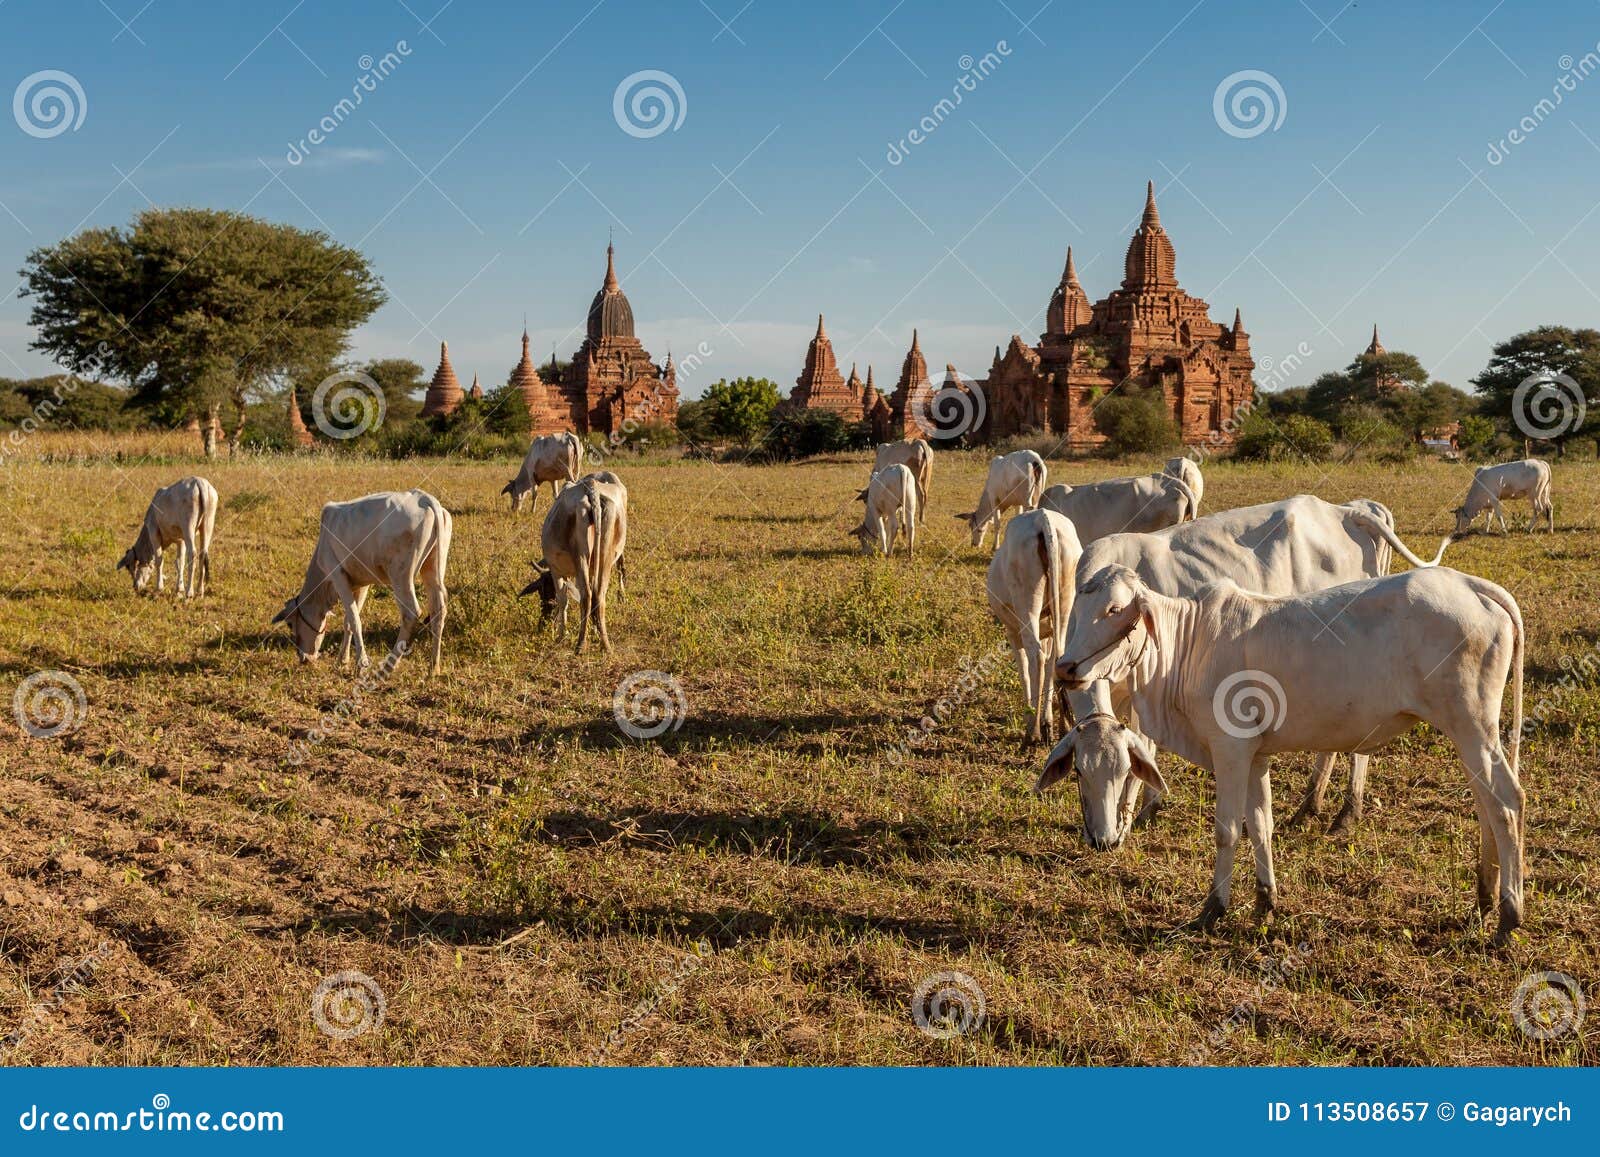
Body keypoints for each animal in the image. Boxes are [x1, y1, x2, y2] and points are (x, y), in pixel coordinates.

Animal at [272, 490, 452, 676]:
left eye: (290, 623)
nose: (303, 658)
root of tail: (422, 498)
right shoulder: (362, 583)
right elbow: (348, 621)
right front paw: (342, 660)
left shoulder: (338, 576)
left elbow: (354, 620)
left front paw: (360, 664)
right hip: (432, 568)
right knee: (438, 611)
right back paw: (433, 667)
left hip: (401, 576)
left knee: (411, 613)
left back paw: (388, 666)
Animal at [519, 474, 627, 652]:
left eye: (542, 591)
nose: (543, 624)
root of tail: (592, 488)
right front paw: (594, 631)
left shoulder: (556, 572)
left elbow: (563, 600)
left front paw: (561, 635)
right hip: (606, 557)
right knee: (599, 595)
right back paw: (605, 644)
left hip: (580, 557)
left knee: (587, 595)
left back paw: (581, 644)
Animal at [987, 509, 1082, 741]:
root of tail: (1043, 519)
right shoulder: (1049, 632)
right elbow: (1048, 667)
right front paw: (1047, 720)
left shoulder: (1012, 632)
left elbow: (1023, 669)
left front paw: (1030, 716)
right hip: (1064, 603)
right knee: (1057, 657)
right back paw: (1061, 726)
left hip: (1027, 604)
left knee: (1035, 656)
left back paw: (1032, 732)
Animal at [1043, 564, 1526, 943]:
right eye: (1079, 773)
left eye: (1113, 610)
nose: (1065, 667)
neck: (1188, 645)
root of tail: (1474, 586)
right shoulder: (1256, 756)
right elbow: (1261, 825)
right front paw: (1265, 903)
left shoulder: (1230, 750)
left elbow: (1227, 831)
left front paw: (1212, 910)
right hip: (1470, 734)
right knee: (1486, 804)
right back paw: (1482, 903)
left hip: (1472, 726)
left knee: (1506, 802)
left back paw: (1508, 916)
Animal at [1066, 495, 1453, 832]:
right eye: (1078, 773)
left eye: (1121, 770)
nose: (1102, 838)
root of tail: (1345, 511)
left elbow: (1146, 746)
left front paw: (1143, 810)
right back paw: (1310, 804)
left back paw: (1347, 812)